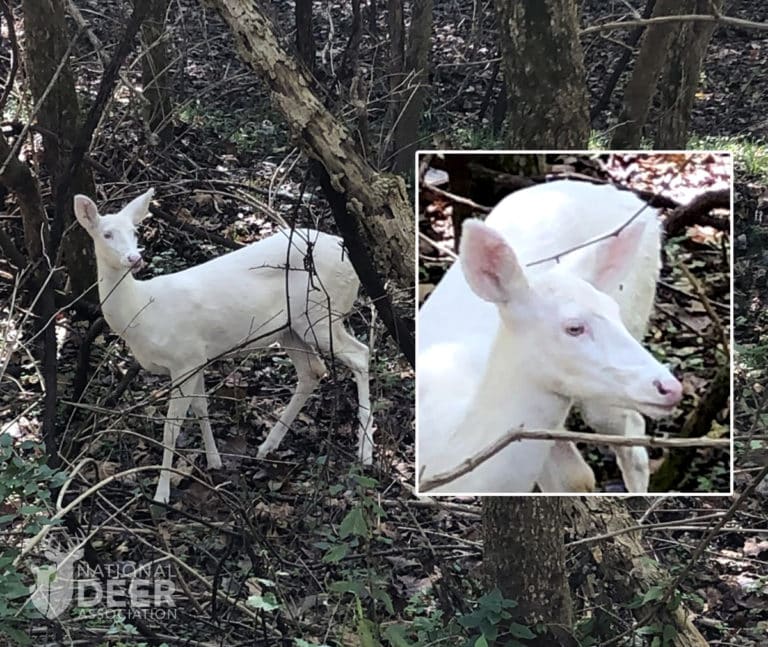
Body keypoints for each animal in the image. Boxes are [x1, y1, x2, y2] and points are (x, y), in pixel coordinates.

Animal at [74, 189, 374, 503]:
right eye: (106, 234)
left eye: (134, 231)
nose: (134, 258)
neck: (143, 313)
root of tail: (347, 259)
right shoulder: (197, 357)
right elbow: (201, 407)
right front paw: (214, 460)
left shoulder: (185, 357)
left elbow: (171, 427)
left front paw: (162, 493)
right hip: (291, 328)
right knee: (313, 370)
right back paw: (268, 446)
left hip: (321, 312)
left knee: (360, 354)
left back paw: (365, 452)